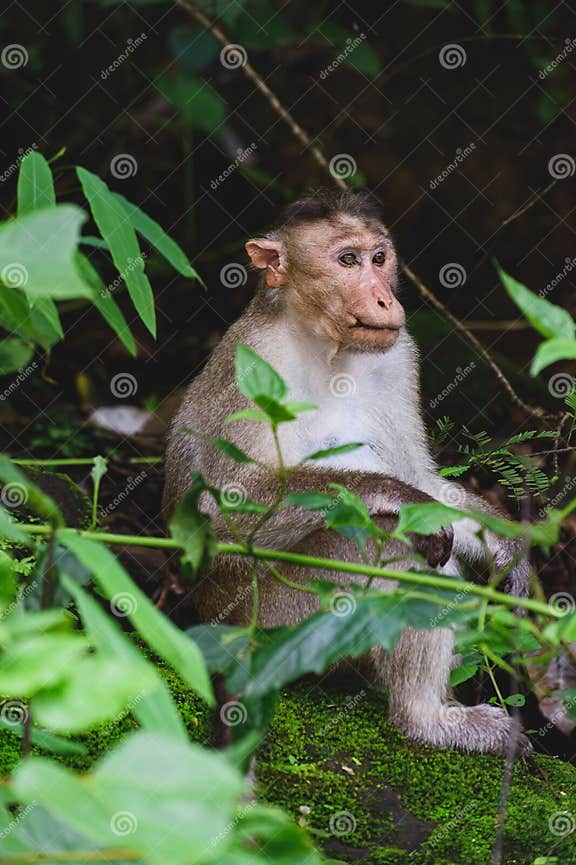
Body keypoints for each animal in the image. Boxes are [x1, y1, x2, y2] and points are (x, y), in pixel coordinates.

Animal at [163, 189, 531, 756]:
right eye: (347, 261)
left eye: (379, 258)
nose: (384, 299)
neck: (323, 344)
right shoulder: (255, 362)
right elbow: (223, 514)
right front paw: (392, 494)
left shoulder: (399, 356)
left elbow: (421, 477)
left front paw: (508, 550)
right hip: (281, 621)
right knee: (394, 543)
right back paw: (422, 719)